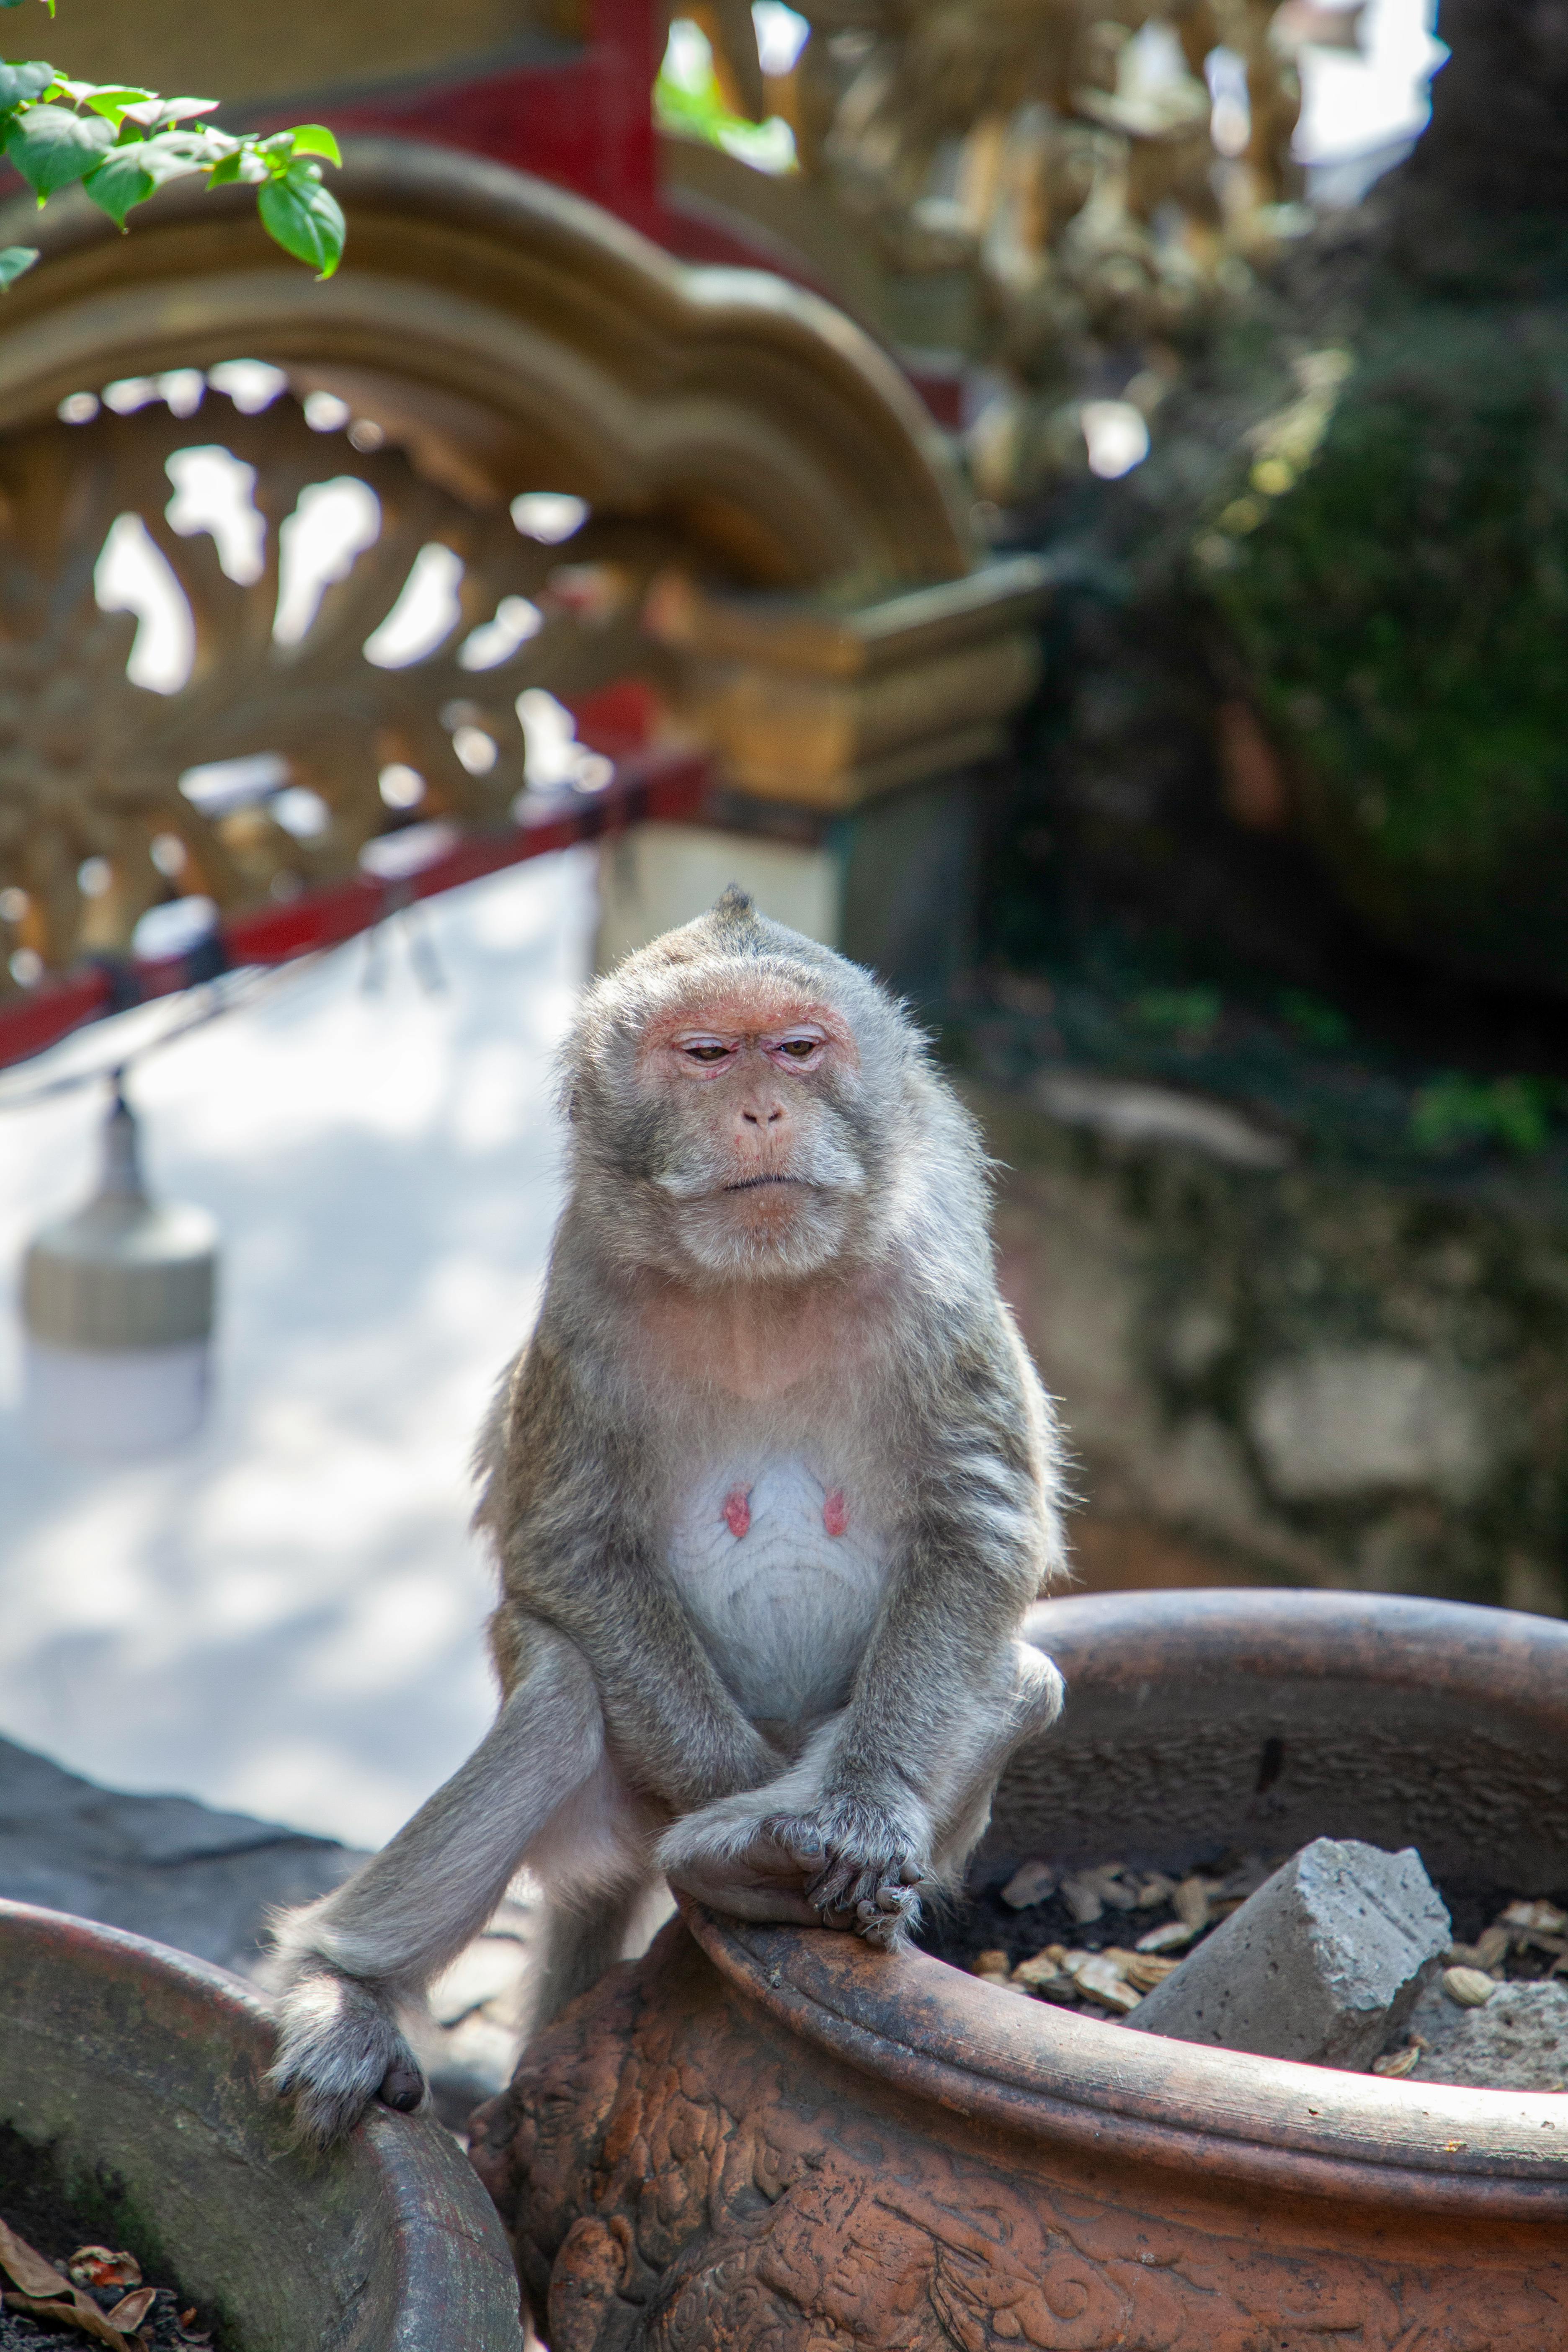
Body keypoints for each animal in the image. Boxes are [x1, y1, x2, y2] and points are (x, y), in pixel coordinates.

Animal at [268, 885, 1068, 2145]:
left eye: (796, 1048)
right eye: (703, 1055)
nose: (760, 1108)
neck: (764, 1288)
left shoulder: (940, 1288)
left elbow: (977, 1530)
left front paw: (850, 1816)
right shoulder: (585, 1293)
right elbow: (570, 1549)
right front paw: (737, 1807)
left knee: (1023, 1682)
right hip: (614, 1802)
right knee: (559, 1692)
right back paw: (358, 1978)